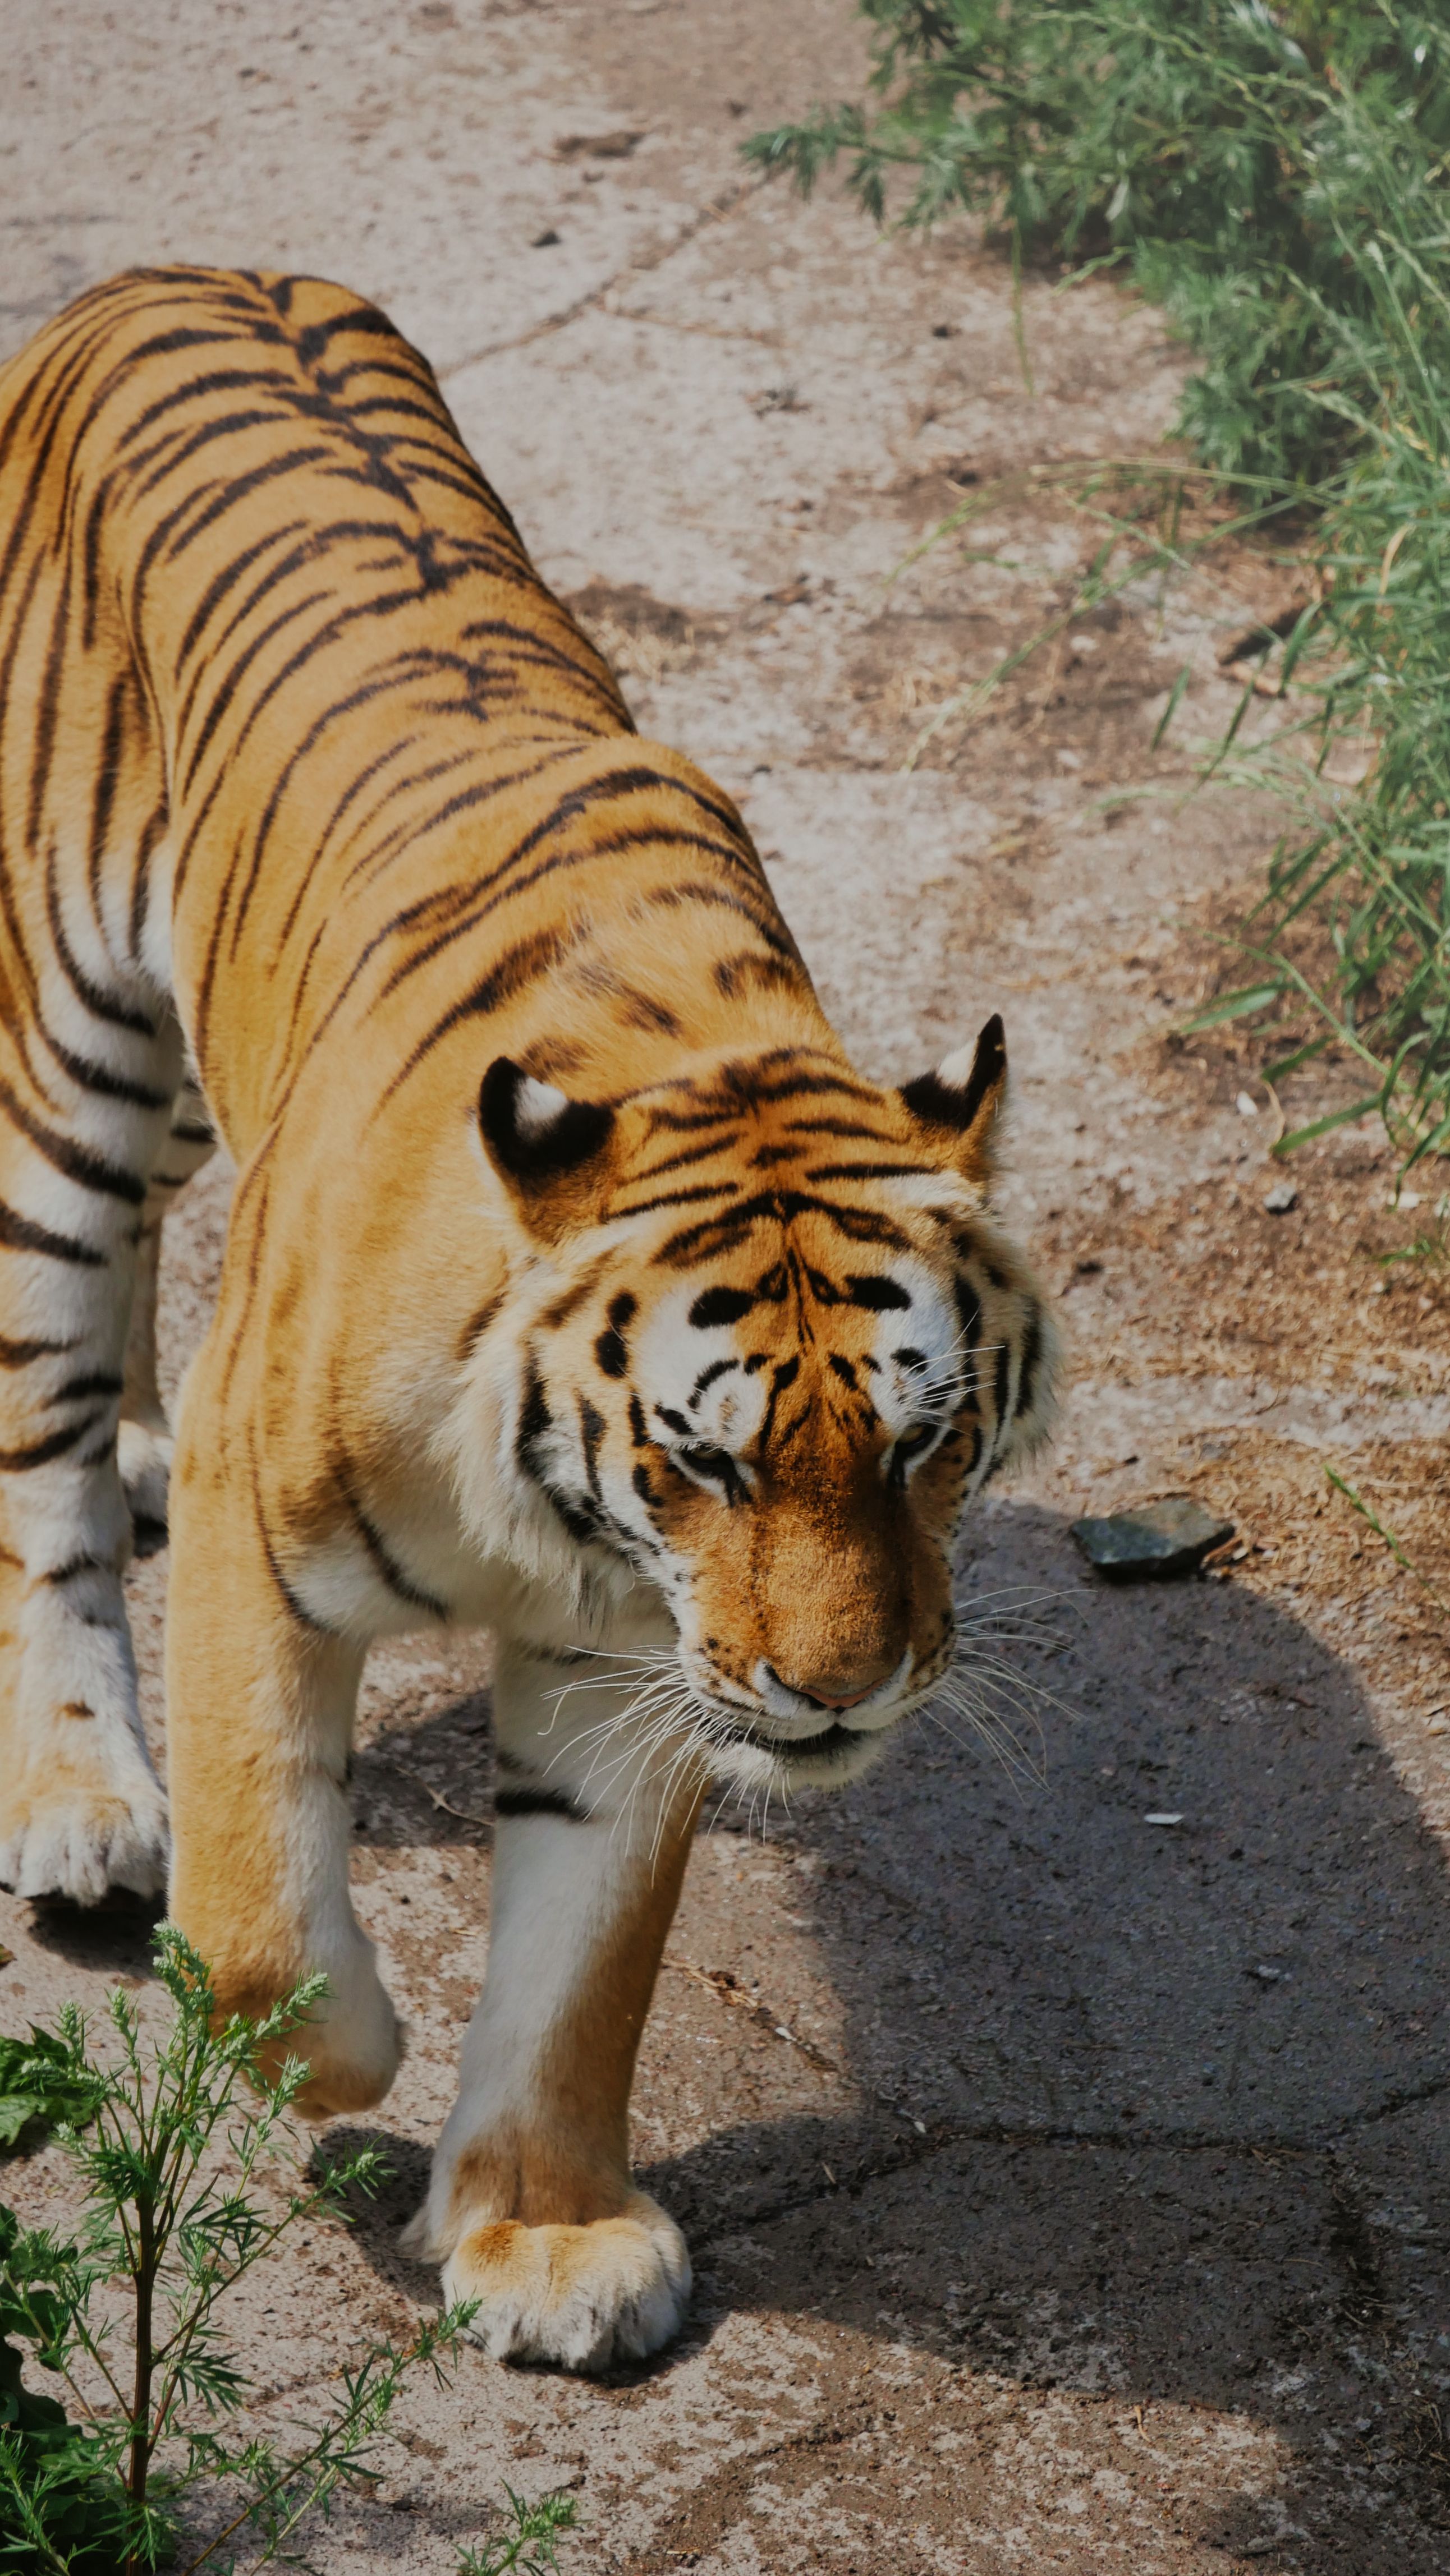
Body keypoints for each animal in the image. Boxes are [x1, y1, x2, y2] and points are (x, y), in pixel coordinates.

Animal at [0, 268, 1059, 2371]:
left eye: (923, 1445)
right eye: (709, 1463)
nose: (842, 1695)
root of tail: (175, 273)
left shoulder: (635, 1654)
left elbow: (586, 1963)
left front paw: (547, 2237)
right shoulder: (273, 1552)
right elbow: (259, 1898)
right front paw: (334, 2064)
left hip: (189, 1071)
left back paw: (139, 1431)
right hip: (64, 1056)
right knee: (43, 1462)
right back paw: (82, 1795)